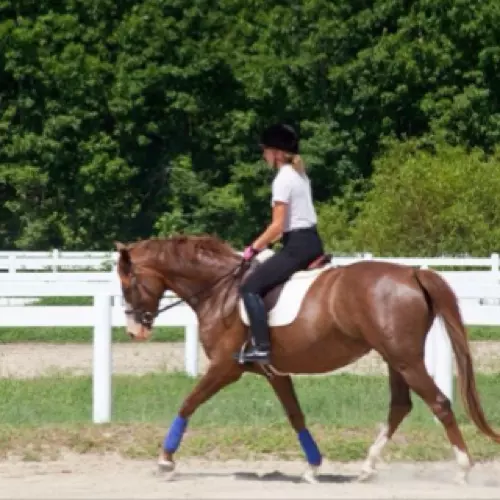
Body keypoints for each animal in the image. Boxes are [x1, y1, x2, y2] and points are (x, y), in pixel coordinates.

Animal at [113, 234, 500, 484]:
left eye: (127, 283)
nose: (135, 331)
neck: (220, 291)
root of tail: (411, 272)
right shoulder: (274, 372)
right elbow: (295, 415)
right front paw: (313, 466)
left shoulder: (225, 368)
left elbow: (188, 403)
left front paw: (165, 460)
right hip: (395, 359)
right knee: (400, 406)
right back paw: (367, 468)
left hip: (405, 360)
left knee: (439, 402)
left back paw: (463, 467)